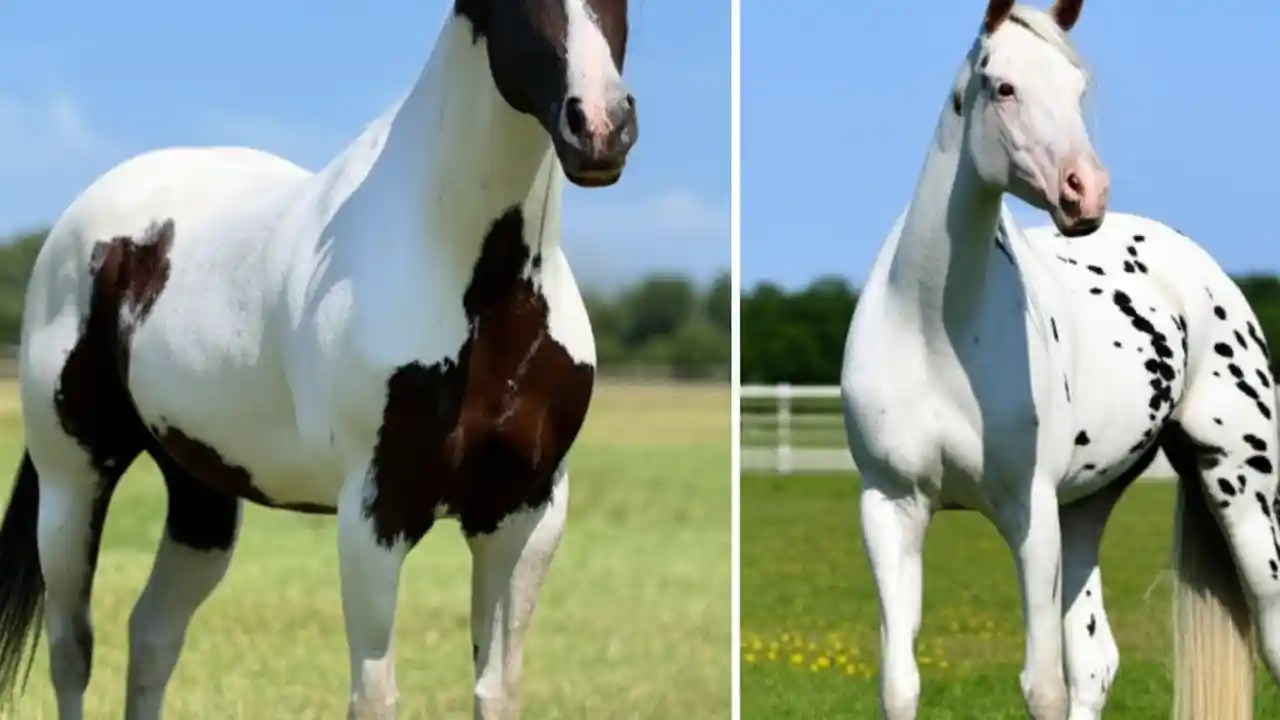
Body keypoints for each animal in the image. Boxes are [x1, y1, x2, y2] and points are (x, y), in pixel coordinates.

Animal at [0, 2, 637, 718]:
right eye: (510, 7)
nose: (601, 128)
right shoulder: (374, 516)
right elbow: (375, 695)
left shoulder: (524, 514)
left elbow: (496, 691)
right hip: (72, 481)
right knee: (72, 649)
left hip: (201, 494)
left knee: (153, 635)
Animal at [841, 2, 1280, 718]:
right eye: (1004, 88)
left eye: (1077, 89)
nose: (1085, 191)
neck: (936, 328)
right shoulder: (890, 507)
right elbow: (900, 685)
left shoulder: (1031, 513)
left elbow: (1041, 687)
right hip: (1085, 508)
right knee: (1097, 664)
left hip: (1241, 483)